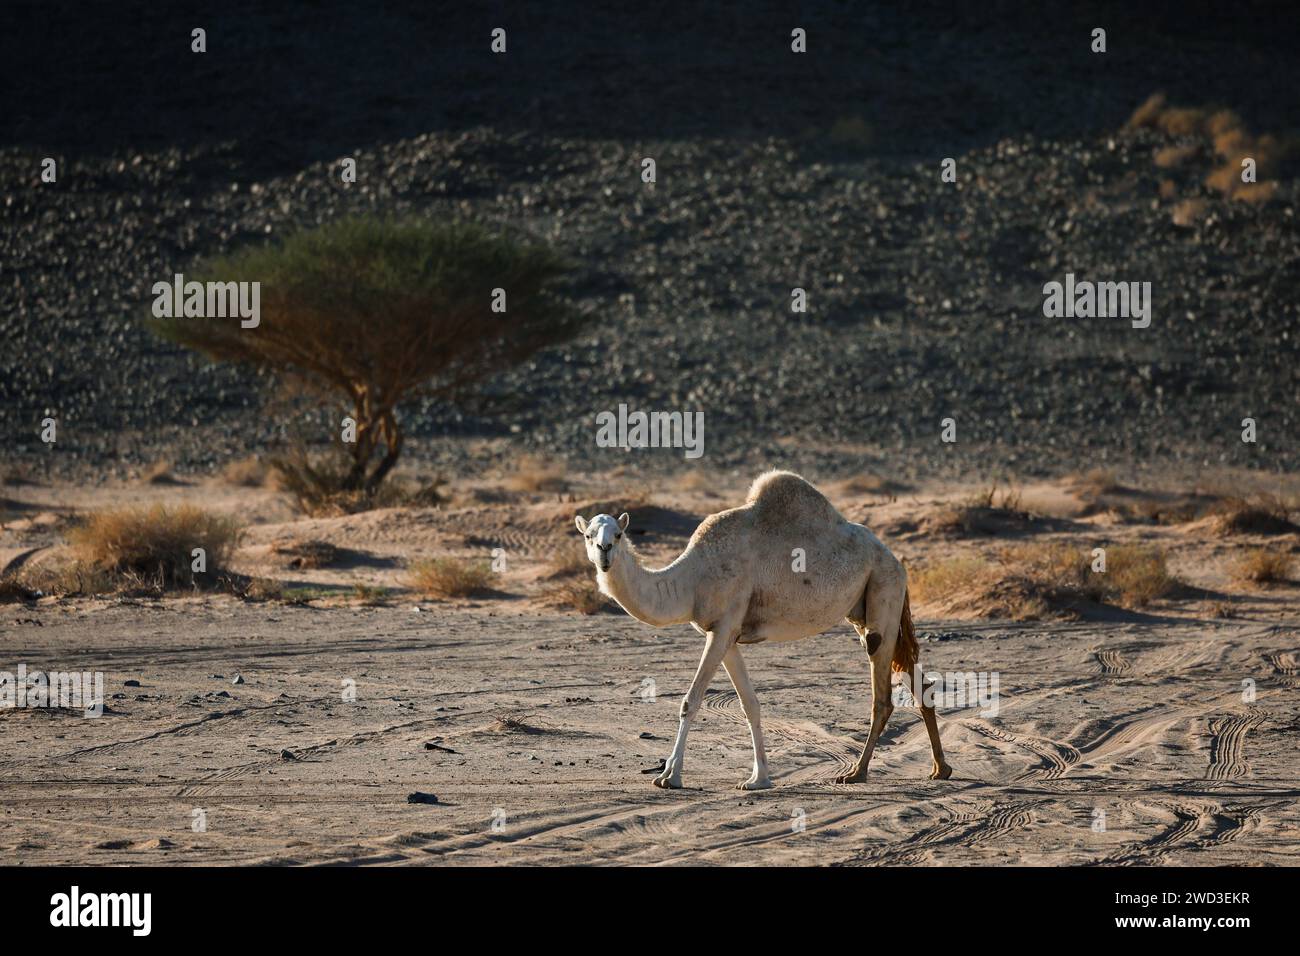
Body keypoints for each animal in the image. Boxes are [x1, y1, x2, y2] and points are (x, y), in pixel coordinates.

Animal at [574, 469, 952, 790]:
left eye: (619, 534)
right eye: (588, 535)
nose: (605, 551)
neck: (692, 579)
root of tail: (894, 558)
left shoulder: (724, 626)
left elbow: (690, 700)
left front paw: (671, 776)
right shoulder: (725, 634)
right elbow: (750, 704)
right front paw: (758, 778)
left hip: (884, 589)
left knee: (882, 694)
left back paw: (857, 773)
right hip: (868, 607)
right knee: (916, 679)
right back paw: (940, 768)